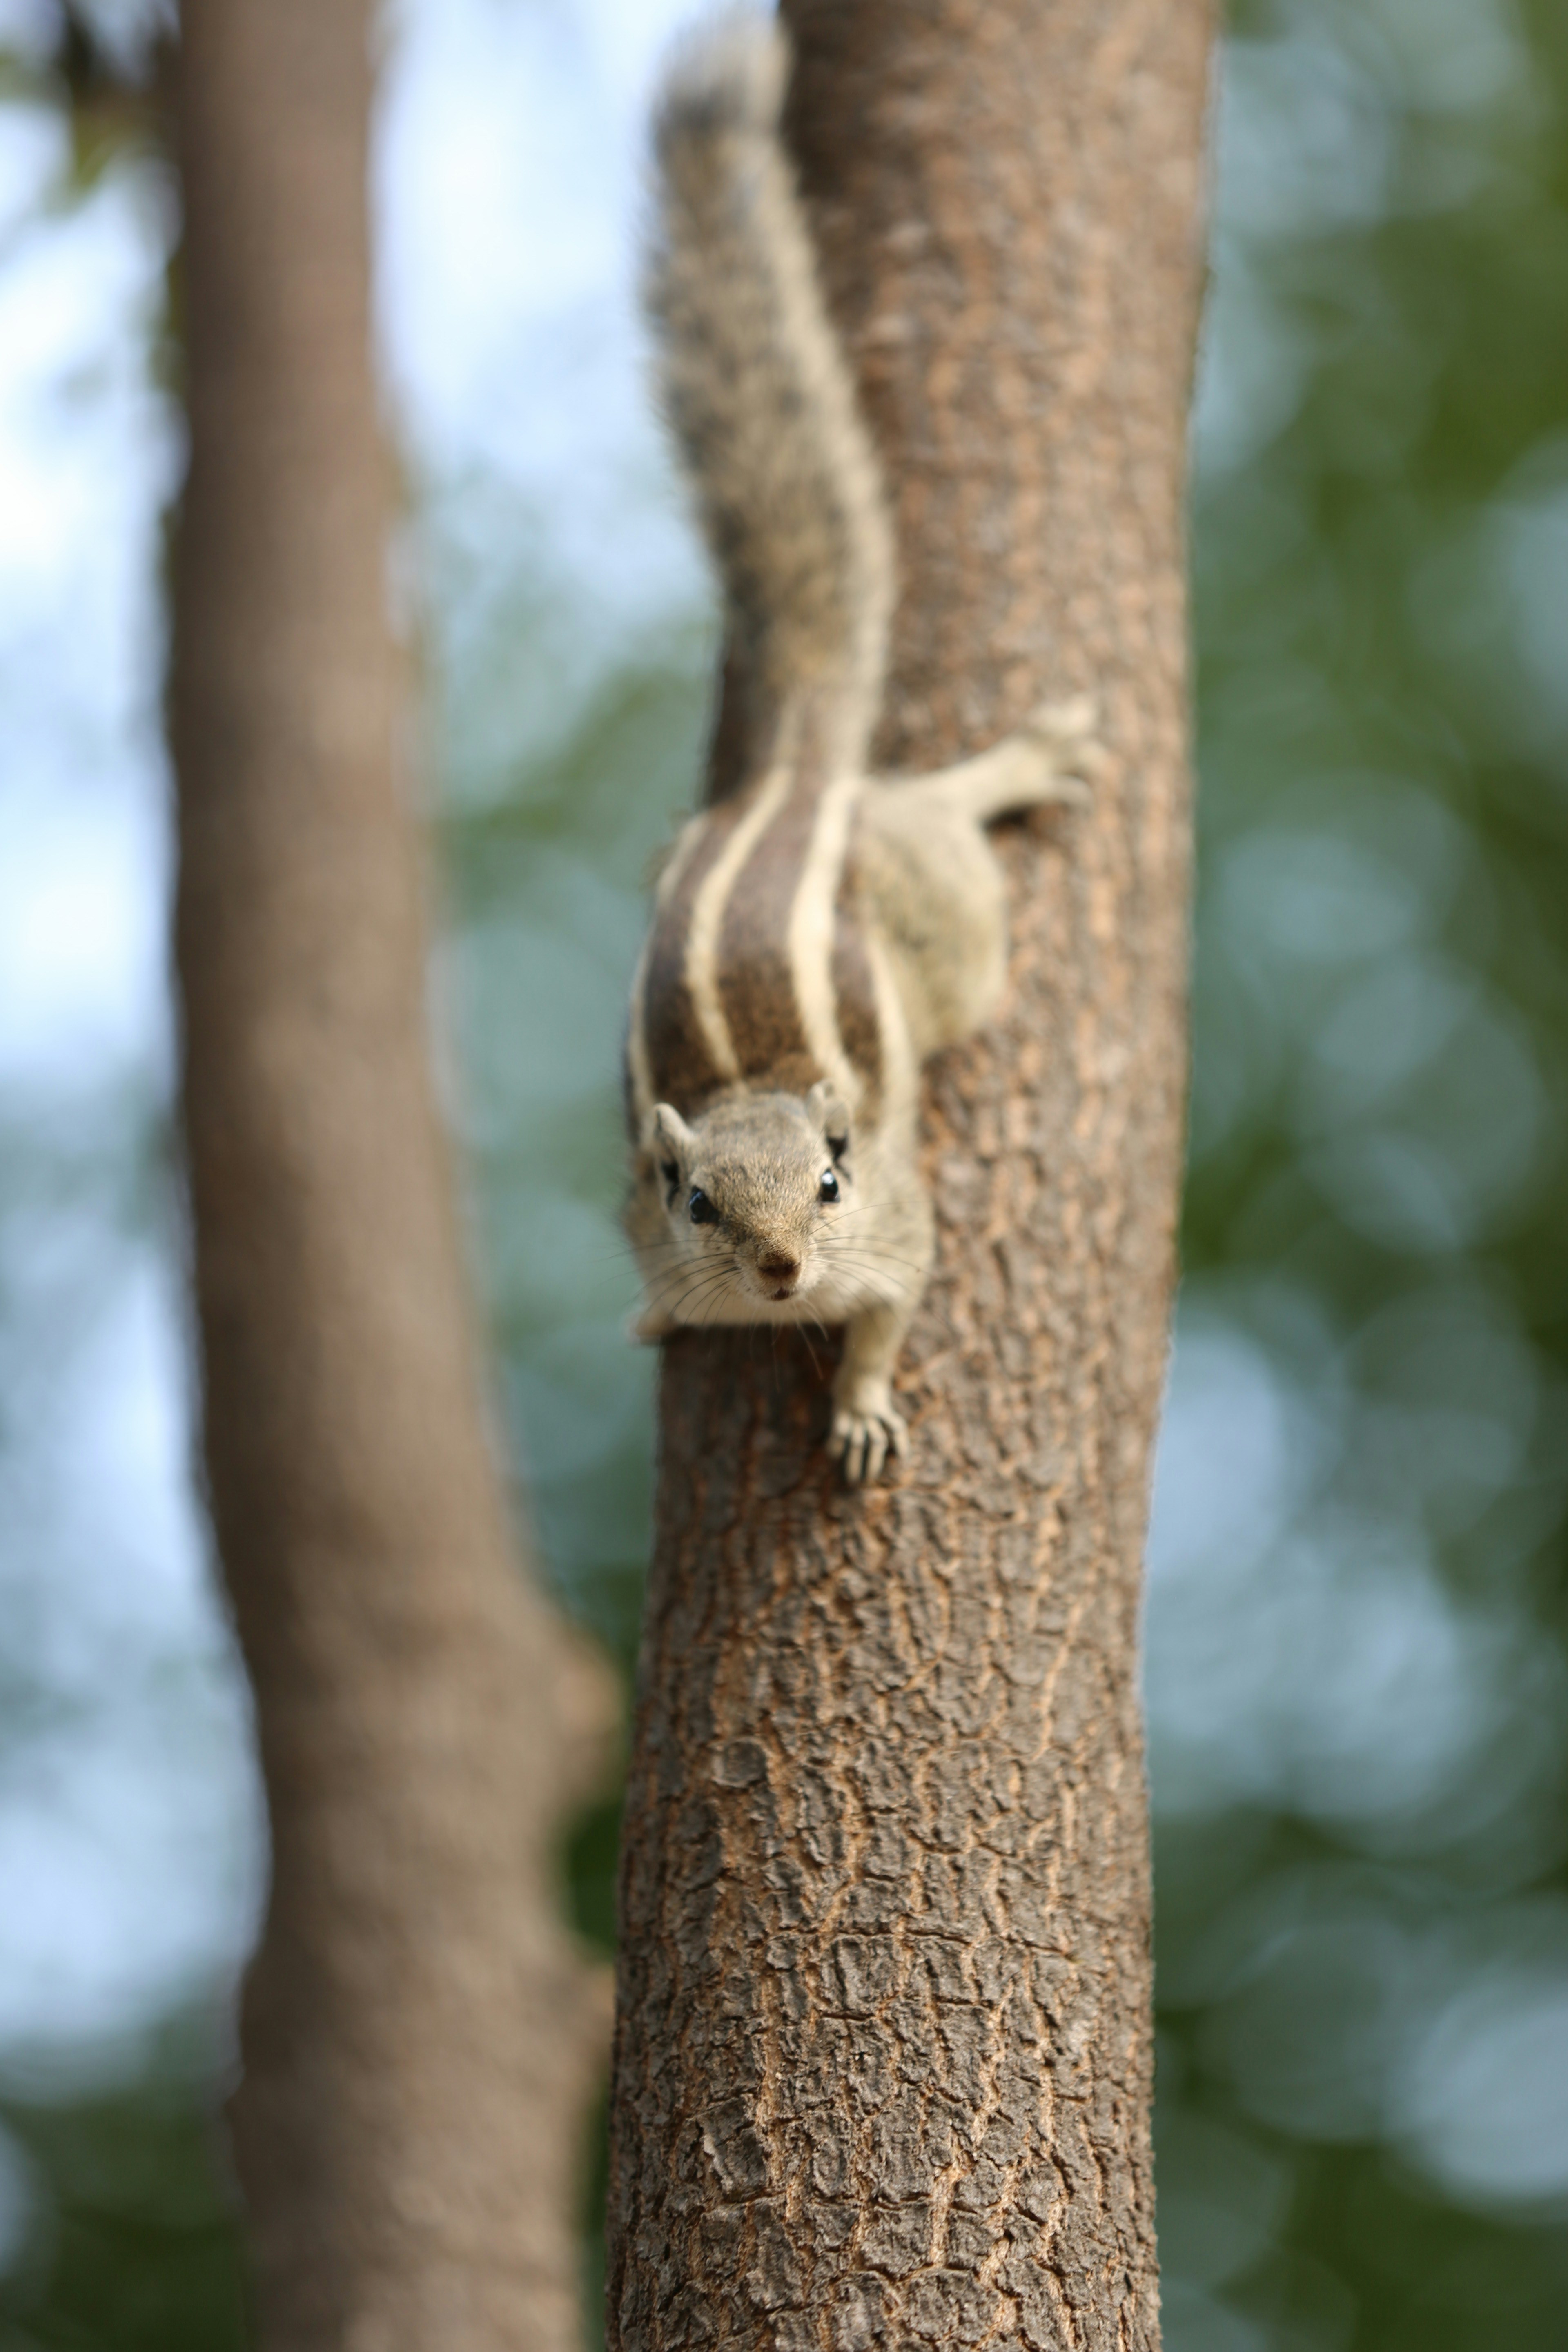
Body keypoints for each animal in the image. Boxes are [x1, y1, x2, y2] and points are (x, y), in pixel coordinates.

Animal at [623, 11, 1095, 1485]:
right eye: (697, 1205)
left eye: (830, 1183)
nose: (780, 1273)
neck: (756, 1086)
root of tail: (794, 784)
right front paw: (658, 1325)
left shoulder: (901, 1224)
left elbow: (897, 1309)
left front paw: (865, 1406)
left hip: (949, 917)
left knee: (946, 816)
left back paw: (1015, 765)